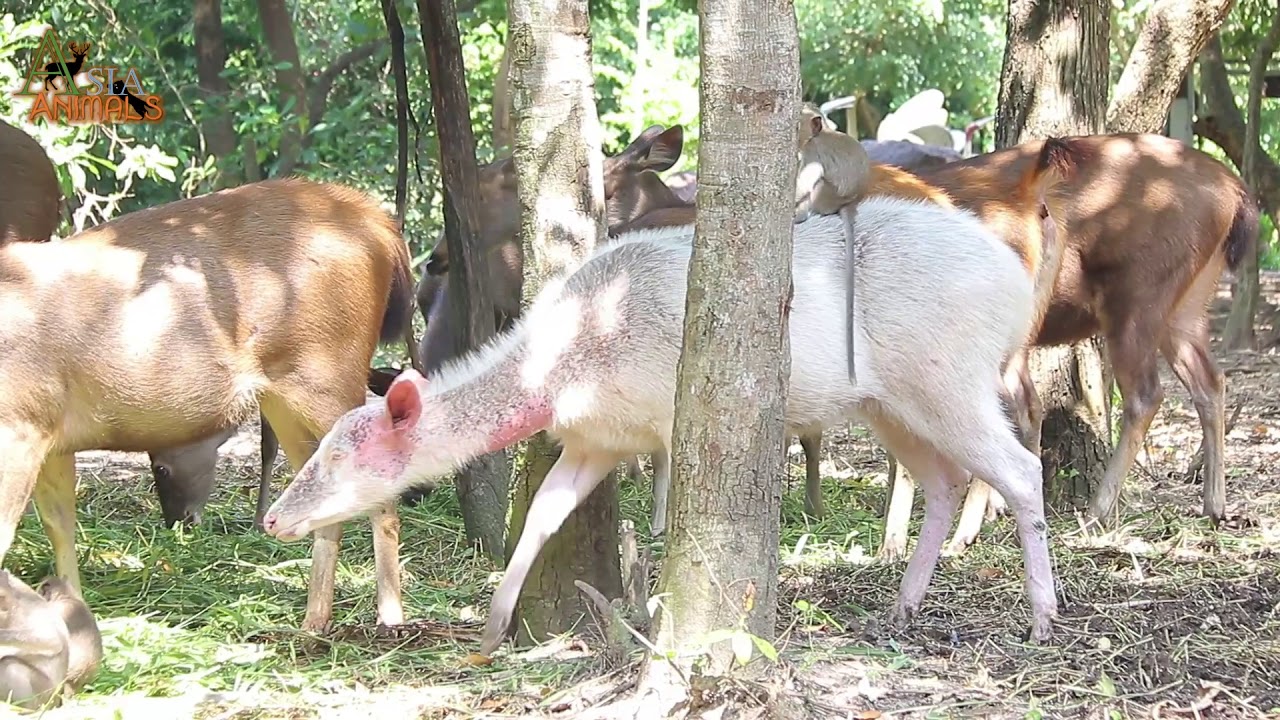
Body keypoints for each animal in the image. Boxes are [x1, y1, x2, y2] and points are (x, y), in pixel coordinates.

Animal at [0, 177, 415, 635]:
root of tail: (378, 222)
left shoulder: (19, 422)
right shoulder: (49, 430)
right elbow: (60, 527)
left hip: (327, 371)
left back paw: (390, 618)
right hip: (286, 395)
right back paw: (313, 623)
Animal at [793, 108, 874, 384]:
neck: (822, 134)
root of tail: (850, 203)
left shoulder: (811, 154)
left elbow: (804, 183)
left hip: (826, 197)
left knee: (816, 184)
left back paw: (798, 216)